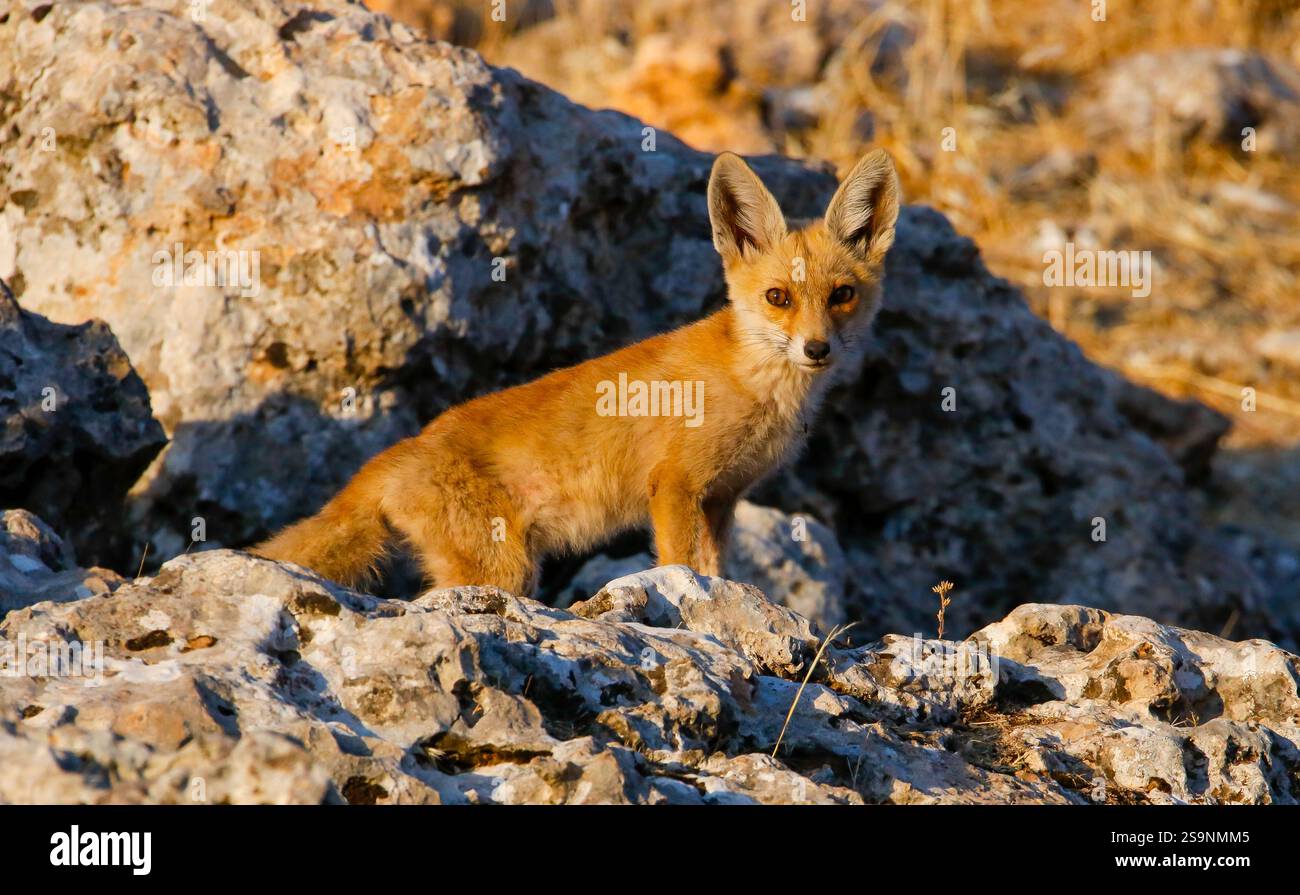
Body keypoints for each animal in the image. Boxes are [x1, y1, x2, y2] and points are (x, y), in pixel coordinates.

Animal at [253, 148, 900, 596]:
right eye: (778, 298)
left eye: (841, 295)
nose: (816, 349)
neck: (757, 388)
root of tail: (395, 455)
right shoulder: (675, 486)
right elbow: (680, 568)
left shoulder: (722, 497)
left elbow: (717, 570)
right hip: (503, 571)